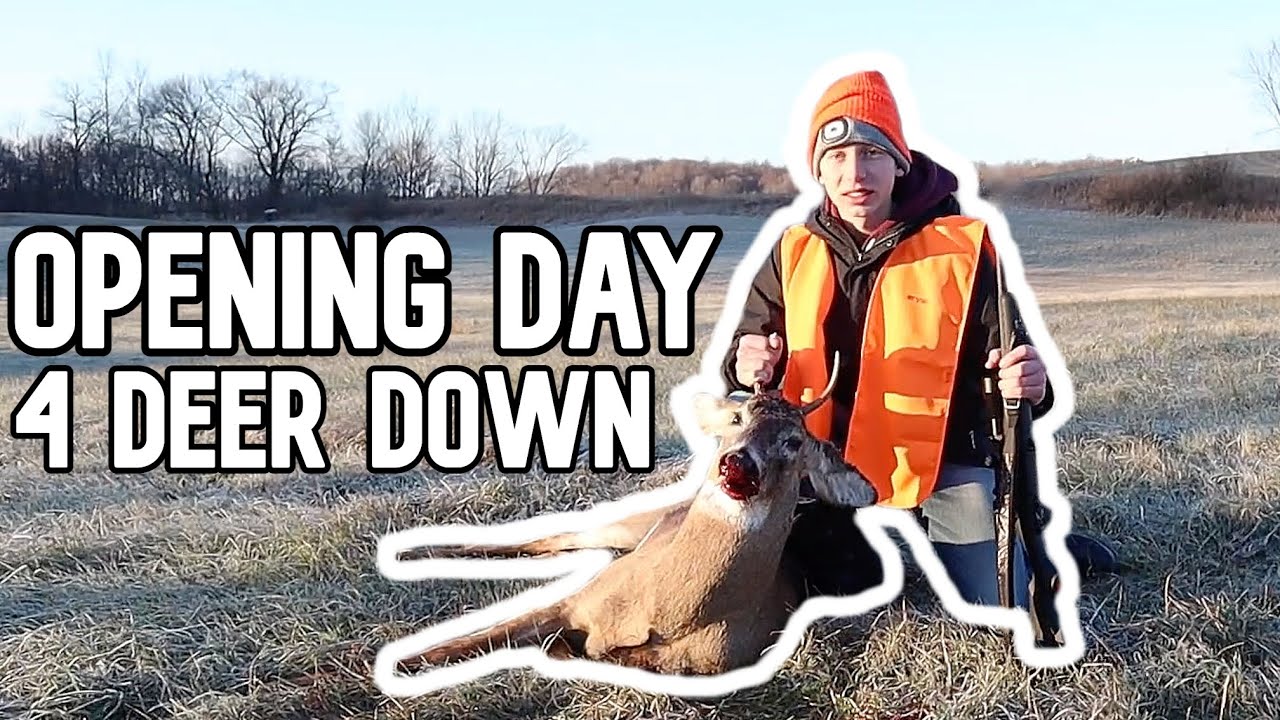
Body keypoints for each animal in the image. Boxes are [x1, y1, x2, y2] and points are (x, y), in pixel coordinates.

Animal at [380, 351, 881, 678]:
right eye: (738, 419)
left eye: (794, 442)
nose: (737, 465)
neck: (666, 608)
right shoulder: (572, 602)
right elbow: (478, 636)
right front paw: (402, 662)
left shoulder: (702, 665)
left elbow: (589, 652)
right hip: (629, 522)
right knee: (553, 537)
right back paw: (419, 552)